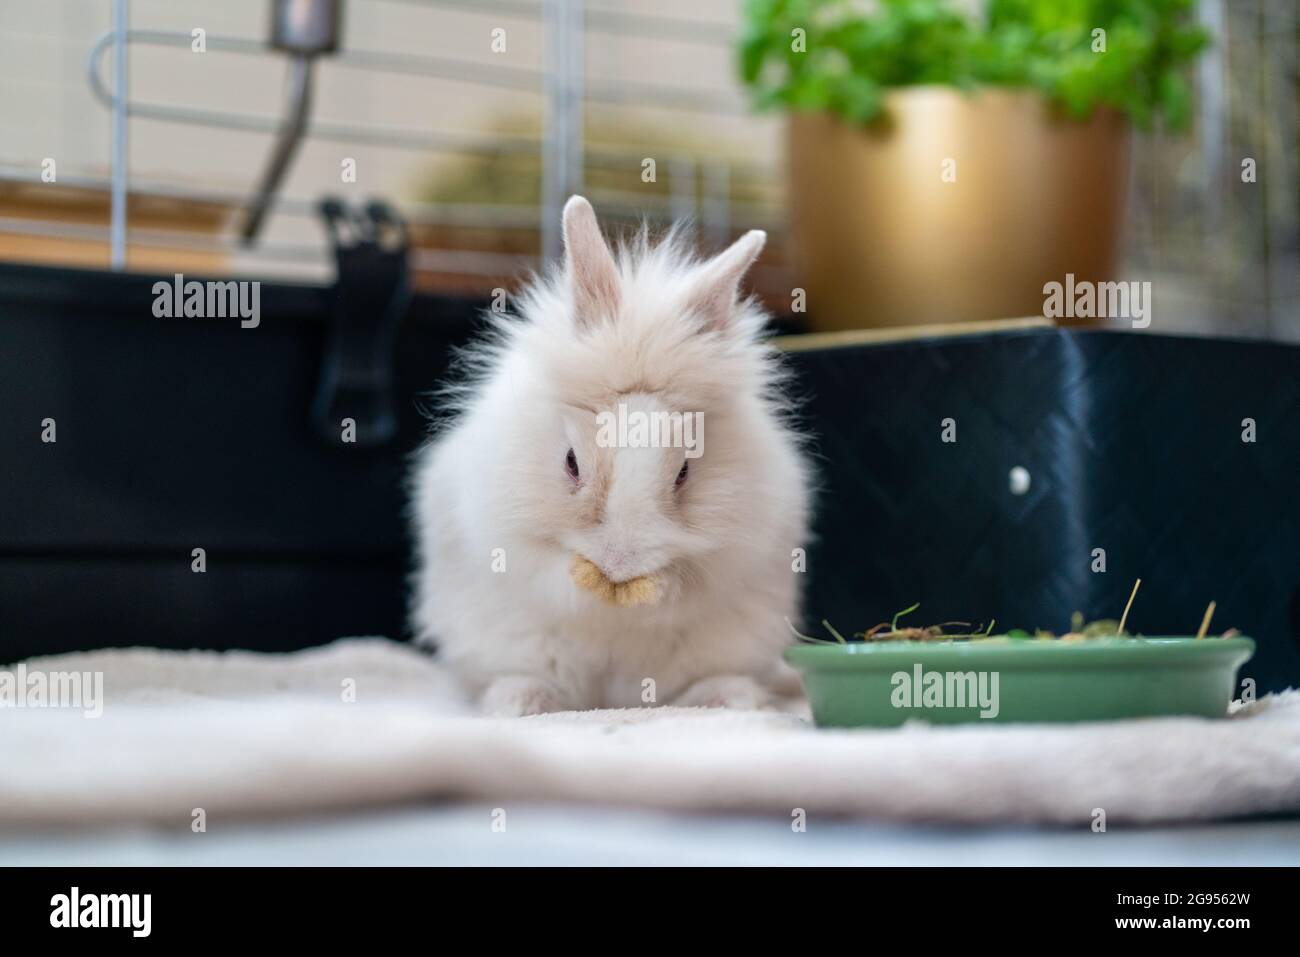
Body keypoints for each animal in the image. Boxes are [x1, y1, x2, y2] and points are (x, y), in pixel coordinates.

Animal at [409, 196, 813, 716]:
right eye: (570, 462)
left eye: (684, 471)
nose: (620, 563)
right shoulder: (514, 545)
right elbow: (554, 578)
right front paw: (588, 581)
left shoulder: (731, 555)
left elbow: (688, 585)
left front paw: (655, 588)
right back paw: (520, 701)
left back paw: (727, 698)